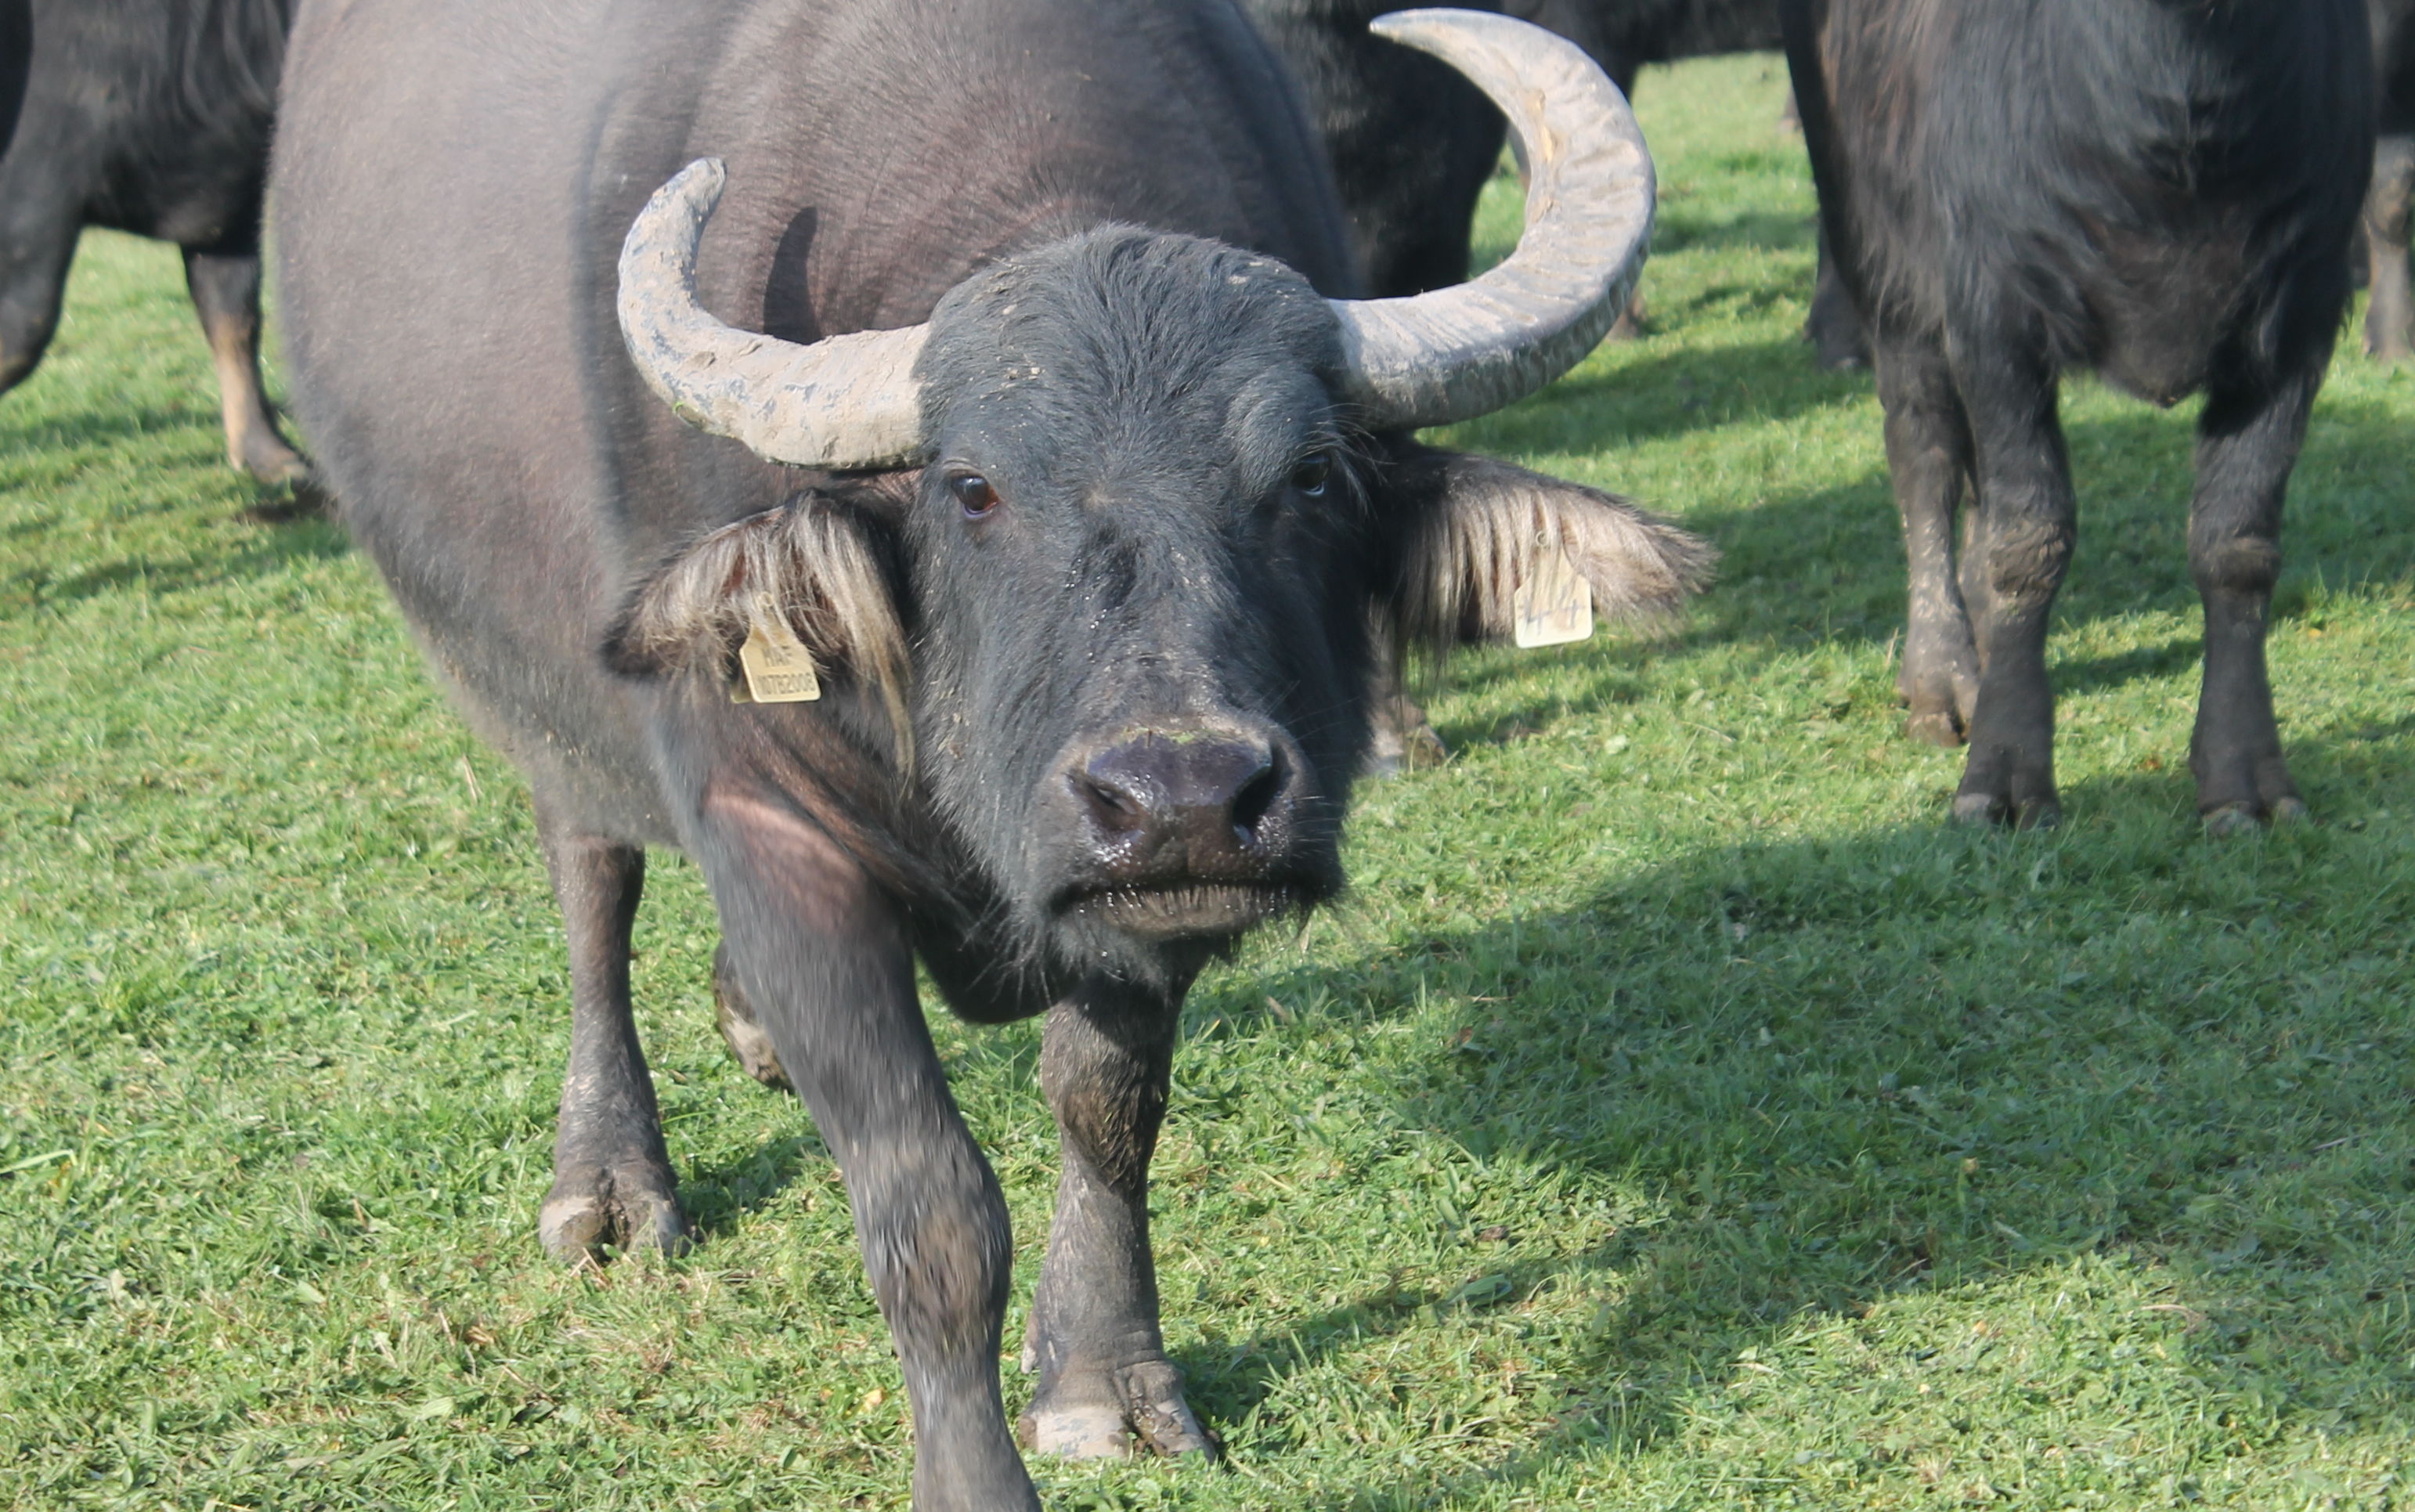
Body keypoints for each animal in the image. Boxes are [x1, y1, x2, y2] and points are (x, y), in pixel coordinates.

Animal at [271, 3, 1710, 1505]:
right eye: (970, 488)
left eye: (1310, 475)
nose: (1187, 795)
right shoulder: (768, 827)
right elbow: (931, 1204)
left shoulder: (1133, 897)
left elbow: (1107, 1108)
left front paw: (1103, 1382)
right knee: (591, 881)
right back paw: (607, 1179)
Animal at [1782, 0, 2373, 832]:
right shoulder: (1992, 309)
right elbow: (2029, 541)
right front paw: (2001, 774)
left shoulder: (2301, 317)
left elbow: (2237, 545)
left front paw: (2244, 777)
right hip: (1879, 258)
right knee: (1924, 450)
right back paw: (1941, 675)